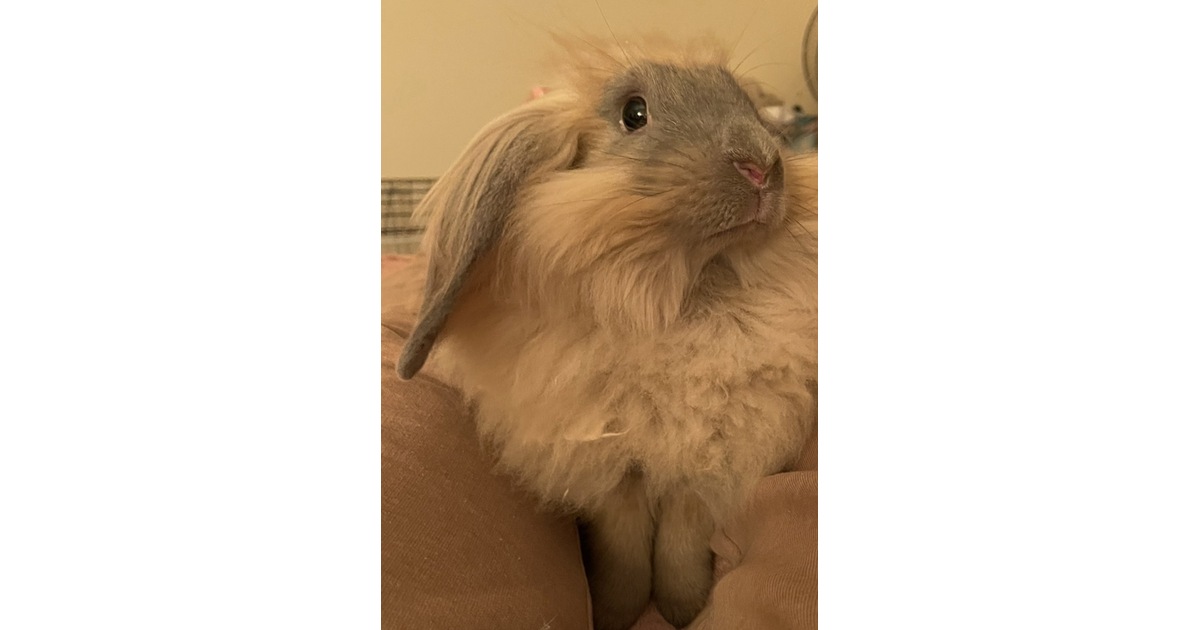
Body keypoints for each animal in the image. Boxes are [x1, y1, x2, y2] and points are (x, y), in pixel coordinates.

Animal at [394, 37, 817, 630]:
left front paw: (683, 609)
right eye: (633, 114)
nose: (761, 167)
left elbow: (681, 545)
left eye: (754, 110)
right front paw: (617, 611)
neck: (681, 297)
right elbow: (627, 553)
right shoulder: (614, 480)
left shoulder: (702, 469)